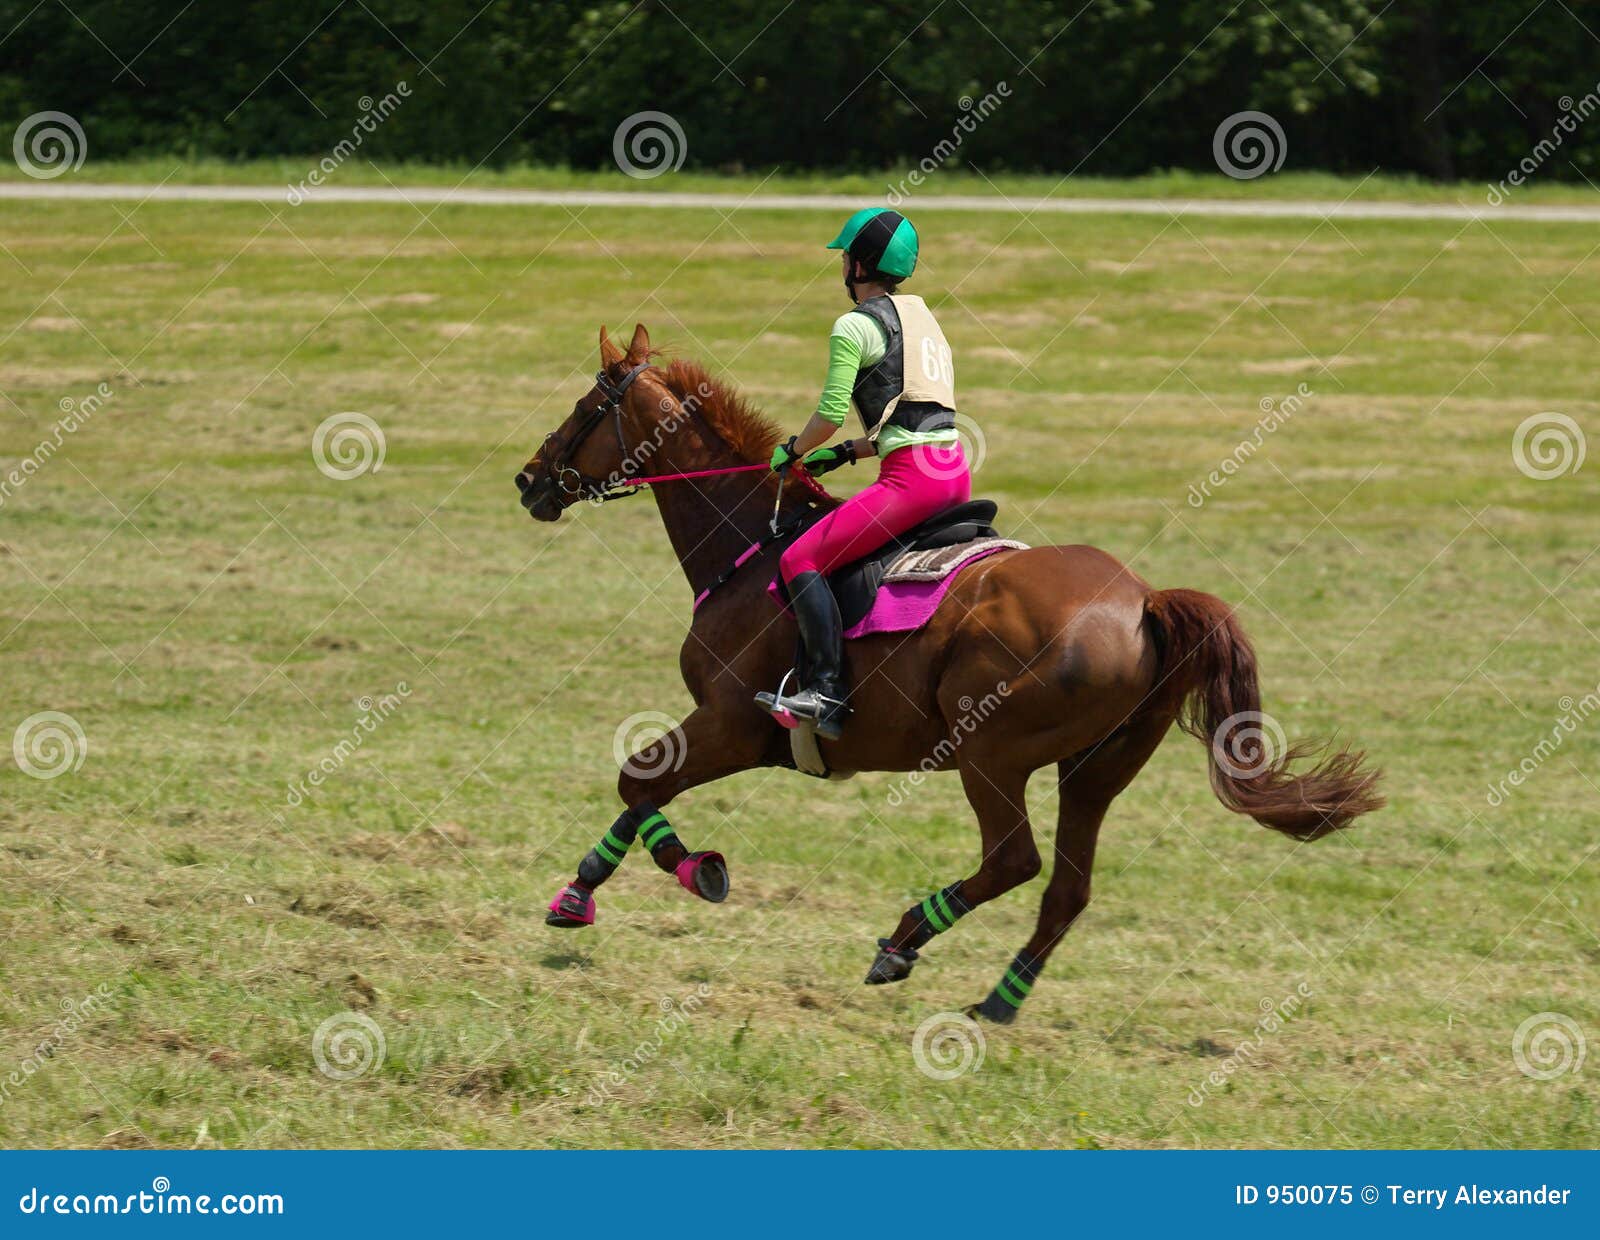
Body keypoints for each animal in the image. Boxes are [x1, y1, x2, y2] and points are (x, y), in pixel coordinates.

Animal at [514, 324, 1383, 1024]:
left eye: (586, 406)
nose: (528, 479)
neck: (751, 548)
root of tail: (1143, 601)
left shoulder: (732, 722)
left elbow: (637, 779)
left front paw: (679, 875)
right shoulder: (738, 735)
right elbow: (643, 788)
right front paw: (591, 889)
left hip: (989, 751)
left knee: (1016, 860)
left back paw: (905, 939)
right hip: (1095, 771)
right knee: (1067, 888)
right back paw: (998, 1001)